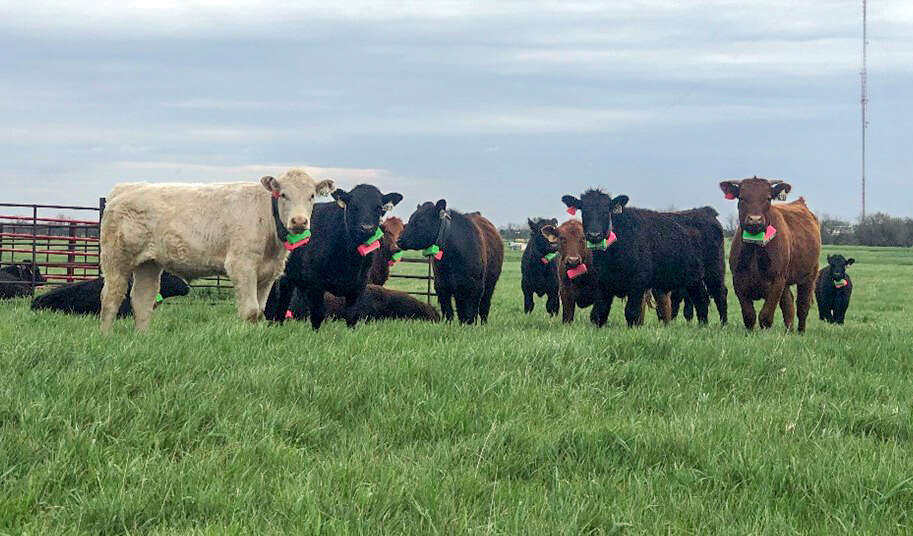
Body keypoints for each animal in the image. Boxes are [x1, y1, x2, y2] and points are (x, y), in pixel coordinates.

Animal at [99, 168, 334, 333]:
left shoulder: (268, 275)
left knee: (142, 300)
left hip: (149, 264)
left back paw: (142, 337)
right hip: (116, 260)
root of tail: (125, 189)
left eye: (312, 196)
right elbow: (250, 312)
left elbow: (260, 311)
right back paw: (106, 337)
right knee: (111, 298)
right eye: (283, 194)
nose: (299, 221)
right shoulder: (242, 266)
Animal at [264, 184, 403, 329]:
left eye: (378, 208)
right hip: (284, 277)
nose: (367, 228)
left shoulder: (359, 286)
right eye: (353, 206)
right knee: (282, 303)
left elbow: (352, 316)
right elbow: (318, 315)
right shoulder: (316, 284)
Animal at [561, 189, 711, 327]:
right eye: (584, 211)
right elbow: (599, 313)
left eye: (606, 211)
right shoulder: (604, 283)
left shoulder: (638, 283)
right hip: (694, 279)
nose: (594, 235)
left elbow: (632, 312)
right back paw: (702, 325)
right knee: (701, 299)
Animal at [720, 177, 820, 332]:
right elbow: (749, 315)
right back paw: (788, 331)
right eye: (741, 197)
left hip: (809, 275)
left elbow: (765, 316)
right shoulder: (738, 281)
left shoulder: (777, 280)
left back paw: (800, 331)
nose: (755, 220)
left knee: (802, 306)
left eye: (768, 198)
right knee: (788, 304)